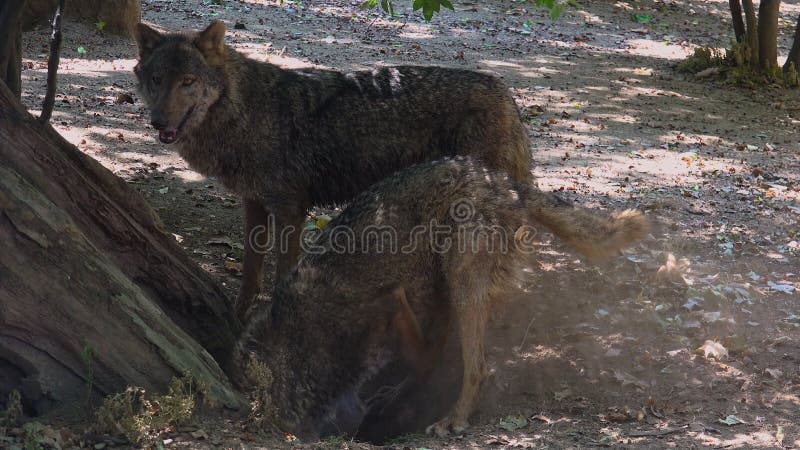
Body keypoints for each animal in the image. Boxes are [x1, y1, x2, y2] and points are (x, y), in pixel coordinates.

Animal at [132, 20, 534, 320]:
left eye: (188, 82)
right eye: (157, 80)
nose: (158, 122)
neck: (245, 112)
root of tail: (503, 91)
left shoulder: (290, 209)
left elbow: (282, 273)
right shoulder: (254, 203)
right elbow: (250, 273)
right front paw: (237, 316)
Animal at [233, 156, 649, 439]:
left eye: (264, 388)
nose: (271, 423)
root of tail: (506, 183)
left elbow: (422, 351)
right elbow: (422, 357)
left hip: (462, 285)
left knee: (476, 366)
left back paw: (453, 419)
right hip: (453, 286)